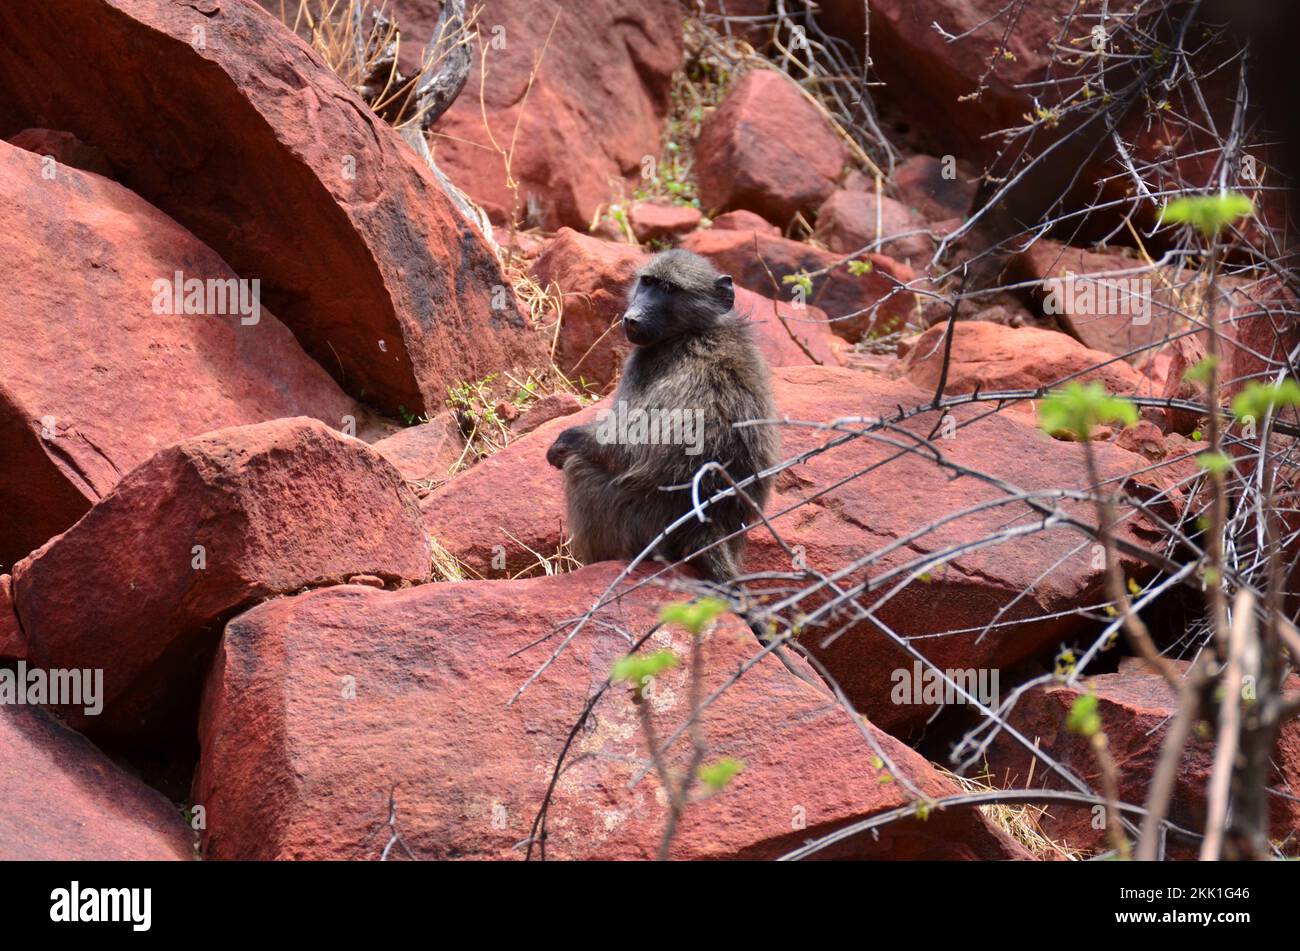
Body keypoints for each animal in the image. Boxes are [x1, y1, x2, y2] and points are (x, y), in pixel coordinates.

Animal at [545, 249, 780, 589]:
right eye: (647, 282)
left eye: (669, 289)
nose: (632, 318)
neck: (696, 330)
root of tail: (705, 525)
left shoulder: (641, 363)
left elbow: (627, 449)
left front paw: (566, 441)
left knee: (581, 469)